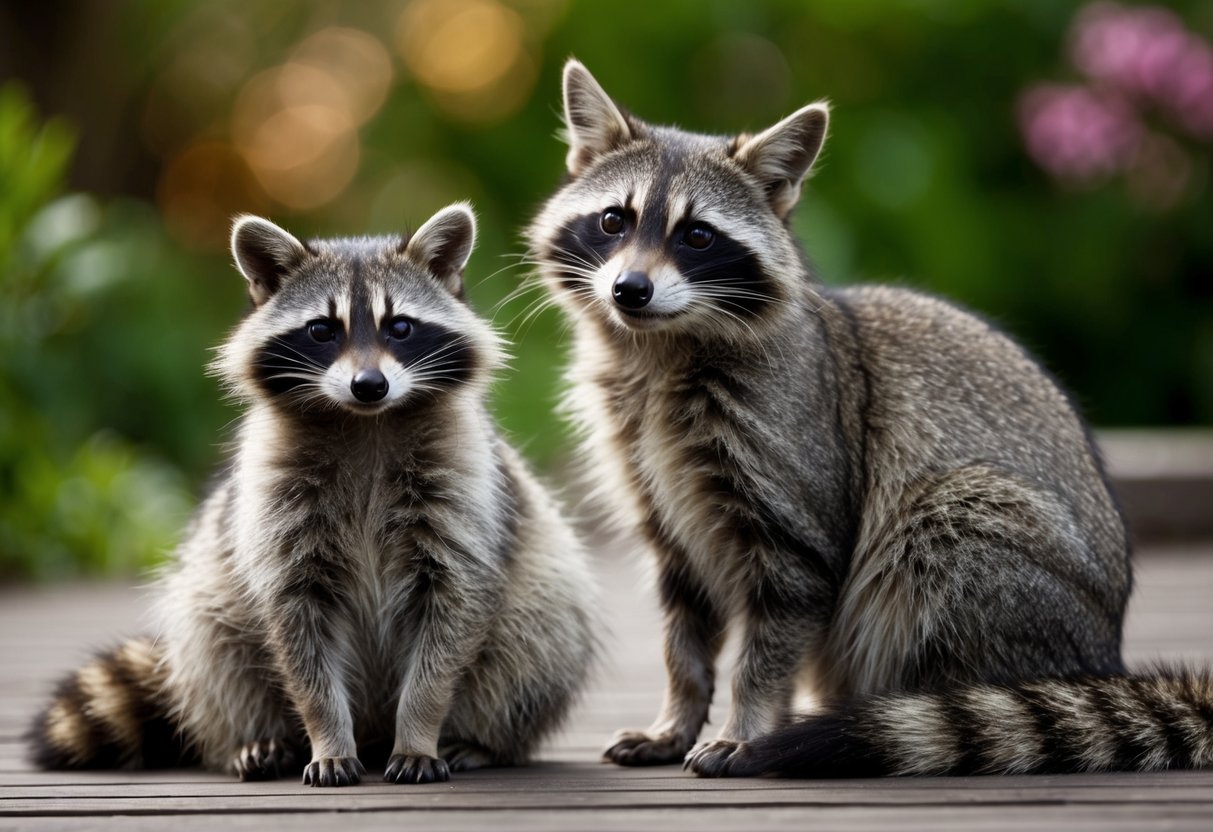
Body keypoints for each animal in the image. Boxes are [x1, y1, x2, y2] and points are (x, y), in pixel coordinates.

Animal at [29, 203, 598, 786]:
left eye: (400, 327)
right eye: (322, 330)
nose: (369, 385)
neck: (366, 422)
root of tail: (373, 731)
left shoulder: (466, 495)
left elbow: (451, 623)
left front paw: (420, 729)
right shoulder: (277, 512)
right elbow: (297, 637)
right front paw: (326, 737)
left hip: (542, 600)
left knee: (534, 640)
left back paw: (481, 739)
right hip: (209, 598)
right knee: (212, 649)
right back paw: (254, 737)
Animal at [528, 60, 1213, 777]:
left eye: (696, 236)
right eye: (614, 220)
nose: (629, 290)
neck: (659, 346)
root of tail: (1104, 651)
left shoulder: (790, 458)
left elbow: (778, 621)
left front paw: (747, 719)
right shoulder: (653, 482)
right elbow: (682, 629)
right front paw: (677, 714)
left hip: (992, 553)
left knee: (937, 542)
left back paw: (927, 710)